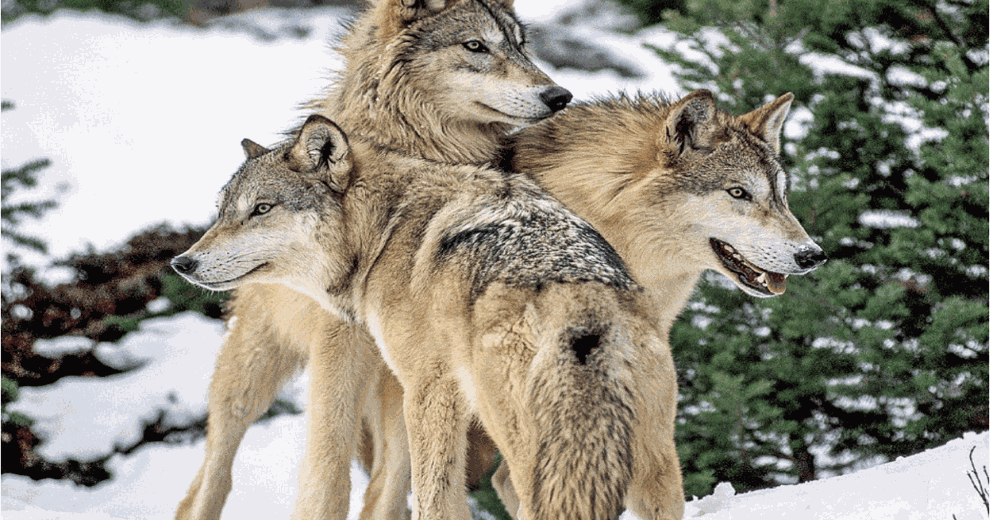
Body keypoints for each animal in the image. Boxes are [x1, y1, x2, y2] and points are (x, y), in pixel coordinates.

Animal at [171, 0, 571, 519]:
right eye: (476, 45)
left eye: (522, 46)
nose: (560, 95)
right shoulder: (338, 341)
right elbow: (326, 463)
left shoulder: (416, 372)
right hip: (252, 367)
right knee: (212, 472)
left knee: (387, 483)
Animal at [172, 115, 684, 520]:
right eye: (222, 211)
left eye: (261, 209)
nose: (182, 262)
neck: (383, 231)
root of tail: (585, 303)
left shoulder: (426, 386)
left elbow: (433, 496)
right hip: (650, 463)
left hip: (528, 448)